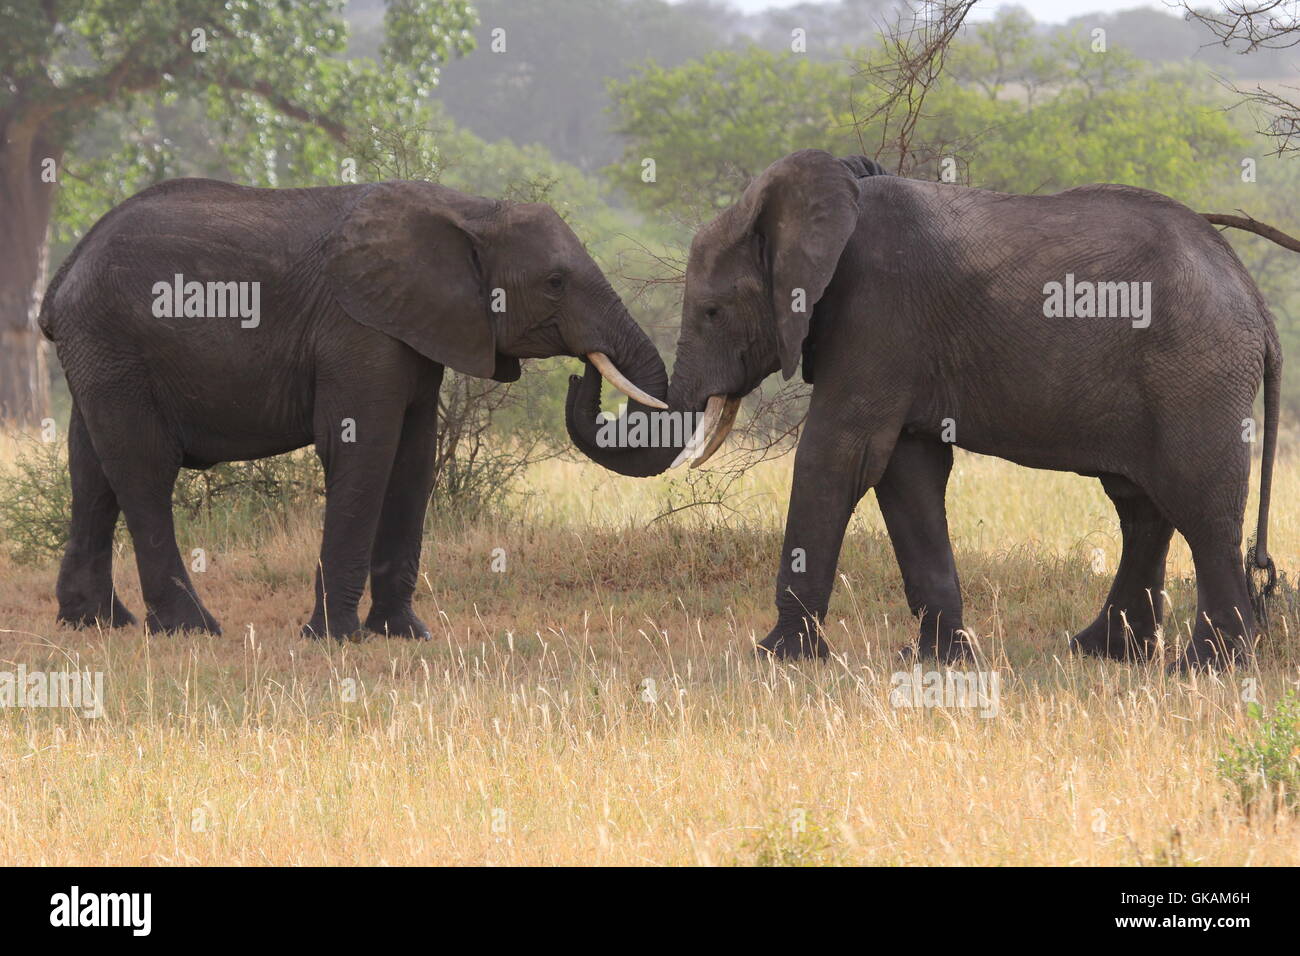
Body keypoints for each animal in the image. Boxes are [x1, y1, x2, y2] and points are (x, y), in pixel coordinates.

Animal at [40, 177, 667, 639]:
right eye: (555, 282)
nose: (582, 373)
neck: (469, 208)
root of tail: (65, 272)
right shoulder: (357, 330)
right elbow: (361, 450)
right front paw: (337, 638)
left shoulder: (417, 327)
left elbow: (413, 460)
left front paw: (406, 634)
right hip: (113, 343)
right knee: (144, 469)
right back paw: (191, 629)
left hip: (101, 355)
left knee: (91, 473)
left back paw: (96, 624)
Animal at [567, 149, 1281, 670]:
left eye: (712, 312)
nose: (579, 372)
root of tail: (1255, 299)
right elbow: (905, 472)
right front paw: (939, 660)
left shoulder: (877, 311)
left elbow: (839, 455)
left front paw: (777, 658)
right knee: (1141, 505)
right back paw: (1100, 653)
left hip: (1196, 372)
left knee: (1199, 503)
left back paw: (1208, 667)